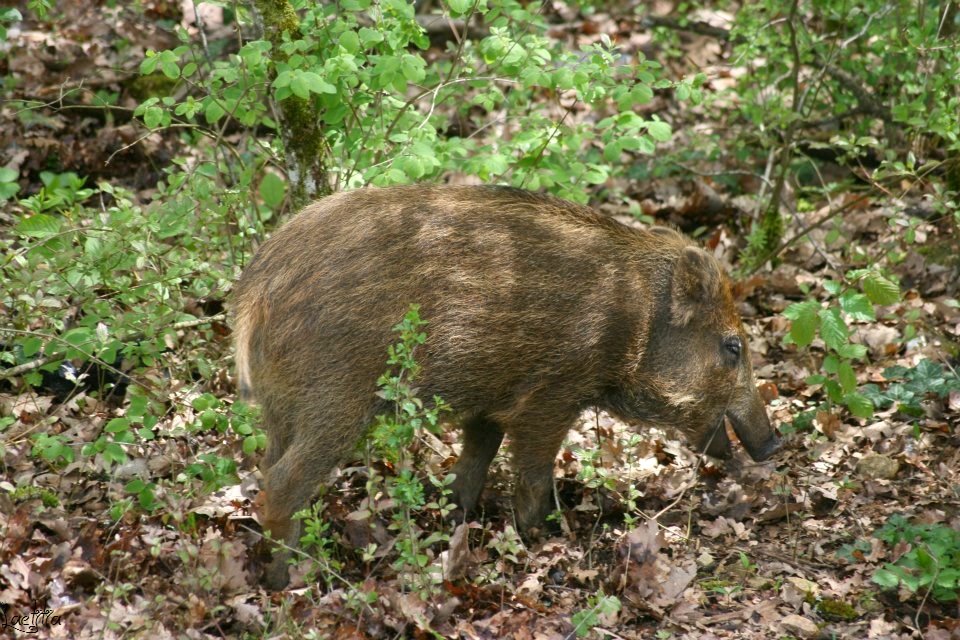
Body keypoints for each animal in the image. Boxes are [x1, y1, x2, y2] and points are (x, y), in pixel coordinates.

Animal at [233, 184, 781, 588]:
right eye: (733, 346)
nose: (775, 443)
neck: (635, 320)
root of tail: (254, 292)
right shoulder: (552, 394)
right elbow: (534, 474)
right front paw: (541, 539)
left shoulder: (490, 405)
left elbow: (473, 464)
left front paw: (457, 521)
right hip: (335, 398)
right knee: (279, 483)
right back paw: (291, 580)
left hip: (281, 406)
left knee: (266, 468)